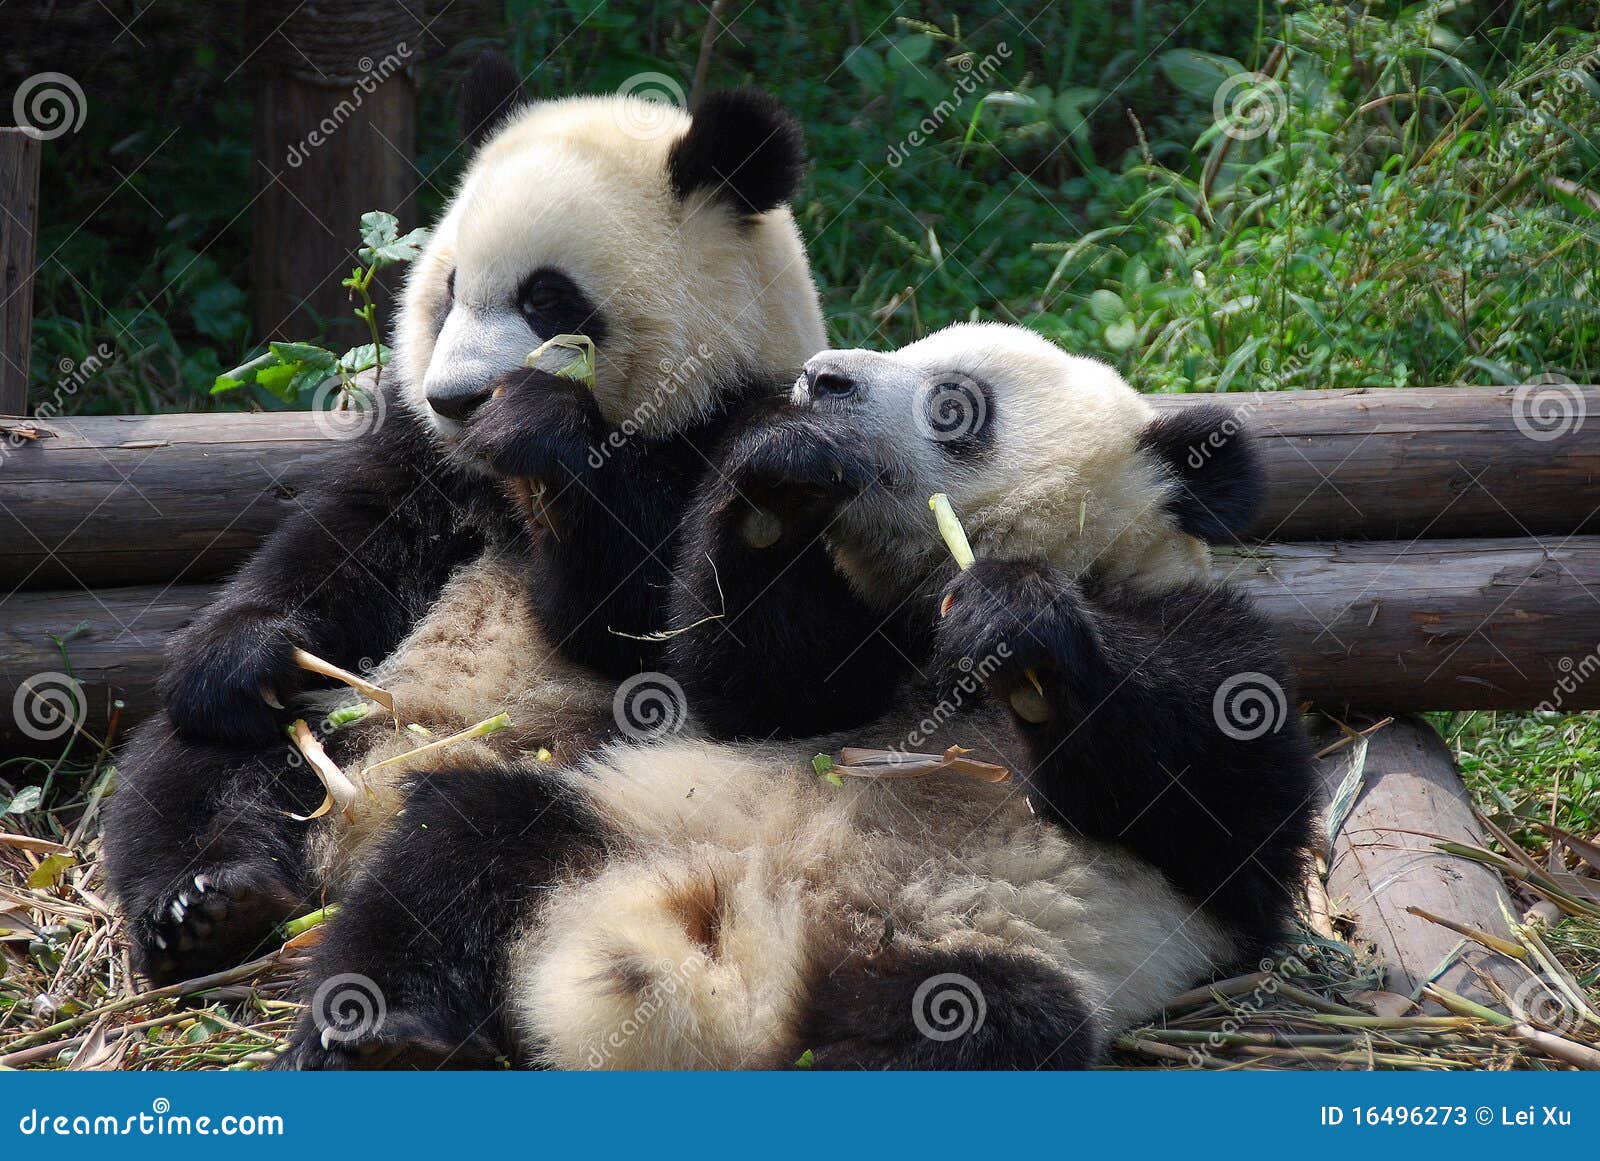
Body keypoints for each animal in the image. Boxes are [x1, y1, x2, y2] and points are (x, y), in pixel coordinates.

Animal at [101, 52, 825, 986]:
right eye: (447, 290)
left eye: (548, 297)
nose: (456, 398)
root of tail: (364, 817)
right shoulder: (423, 465)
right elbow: (339, 549)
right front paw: (245, 649)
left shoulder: (734, 428)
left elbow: (650, 625)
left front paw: (538, 425)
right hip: (330, 724)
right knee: (187, 768)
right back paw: (208, 905)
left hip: (607, 774)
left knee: (476, 849)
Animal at [279, 323, 1318, 1070]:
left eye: (958, 402)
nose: (820, 378)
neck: (925, 610)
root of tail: (746, 961)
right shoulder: (855, 646)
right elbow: (756, 690)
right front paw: (782, 472)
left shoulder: (1203, 636)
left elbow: (1226, 814)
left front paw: (1021, 624)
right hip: (622, 817)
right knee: (465, 837)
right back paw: (384, 1033)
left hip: (976, 947)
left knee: (970, 1032)